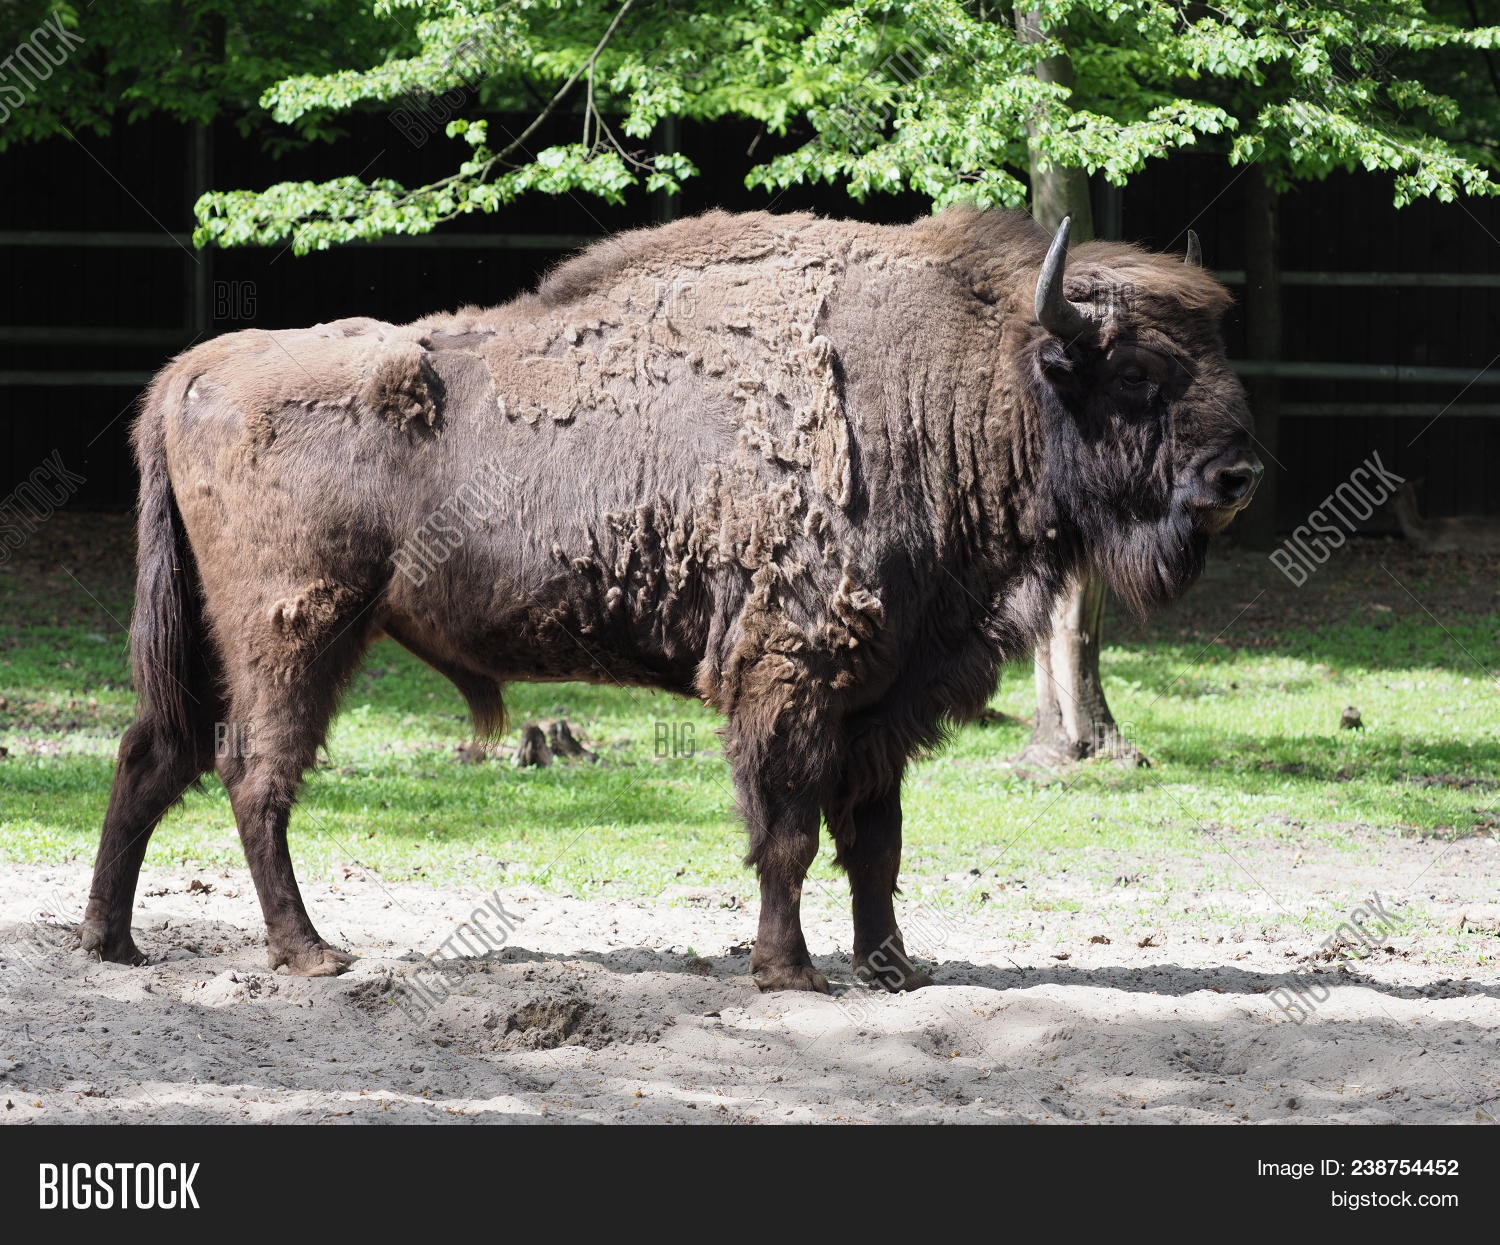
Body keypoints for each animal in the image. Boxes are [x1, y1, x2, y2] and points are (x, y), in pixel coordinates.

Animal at [83, 207, 1259, 992]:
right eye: (1138, 373)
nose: (1238, 475)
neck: (951, 383)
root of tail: (192, 370)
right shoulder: (791, 676)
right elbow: (788, 831)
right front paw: (790, 972)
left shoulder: (885, 692)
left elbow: (875, 837)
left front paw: (894, 968)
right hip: (300, 632)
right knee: (254, 774)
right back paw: (312, 953)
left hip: (210, 637)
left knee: (154, 754)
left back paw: (113, 941)